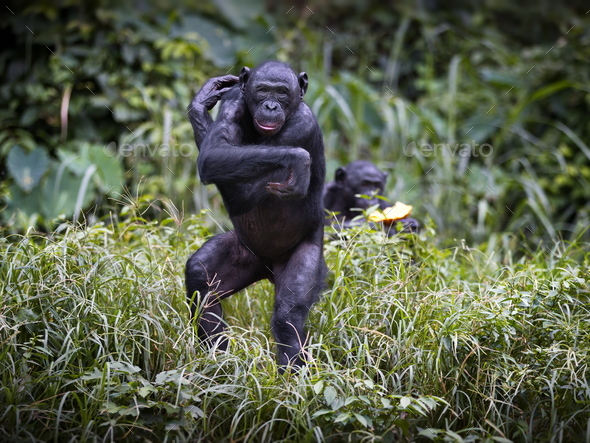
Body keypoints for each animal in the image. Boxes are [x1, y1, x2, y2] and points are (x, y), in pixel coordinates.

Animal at [186, 59, 328, 372]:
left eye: (282, 93)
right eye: (262, 90)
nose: (271, 106)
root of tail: (267, 270)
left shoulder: (301, 126)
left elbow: (244, 190)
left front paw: (299, 159)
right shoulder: (233, 105)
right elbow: (214, 156)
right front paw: (201, 103)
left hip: (307, 255)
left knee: (288, 315)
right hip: (245, 253)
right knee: (202, 283)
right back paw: (217, 365)